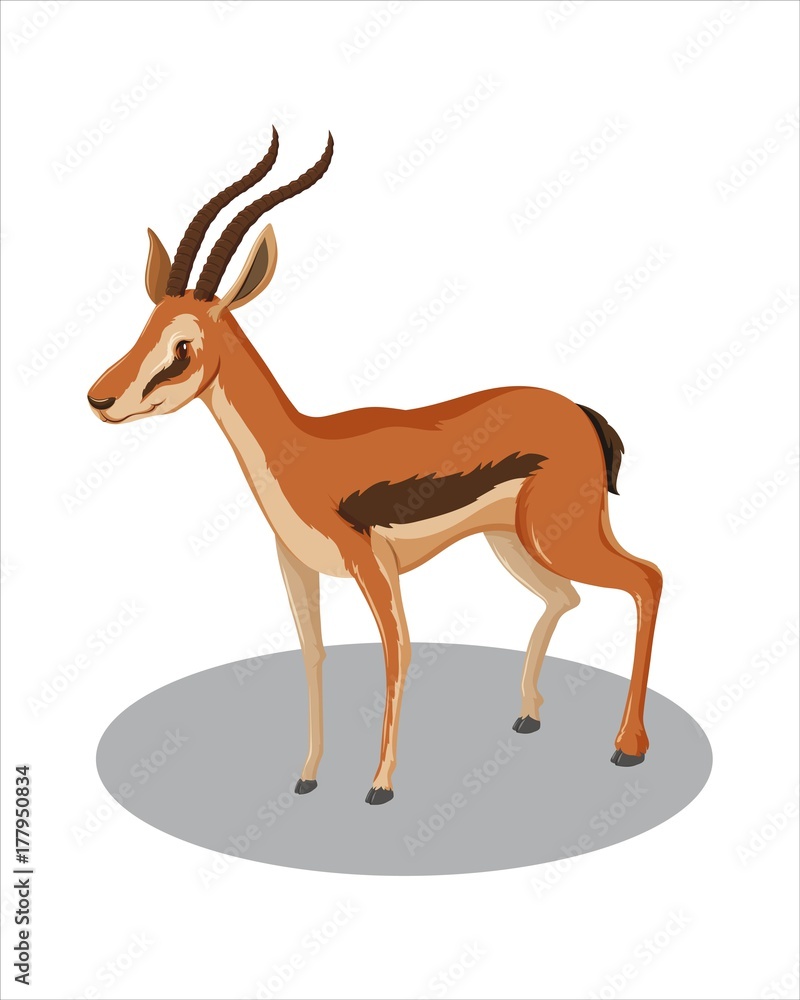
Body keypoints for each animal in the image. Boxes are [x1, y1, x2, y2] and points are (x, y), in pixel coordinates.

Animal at [88, 129, 662, 805]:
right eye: (145, 326)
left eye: (184, 344)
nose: (100, 398)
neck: (303, 448)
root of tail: (579, 411)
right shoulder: (296, 564)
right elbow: (314, 655)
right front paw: (307, 776)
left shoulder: (373, 565)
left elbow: (399, 650)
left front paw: (380, 786)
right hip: (512, 541)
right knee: (566, 597)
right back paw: (528, 715)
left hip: (557, 535)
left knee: (645, 579)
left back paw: (628, 748)